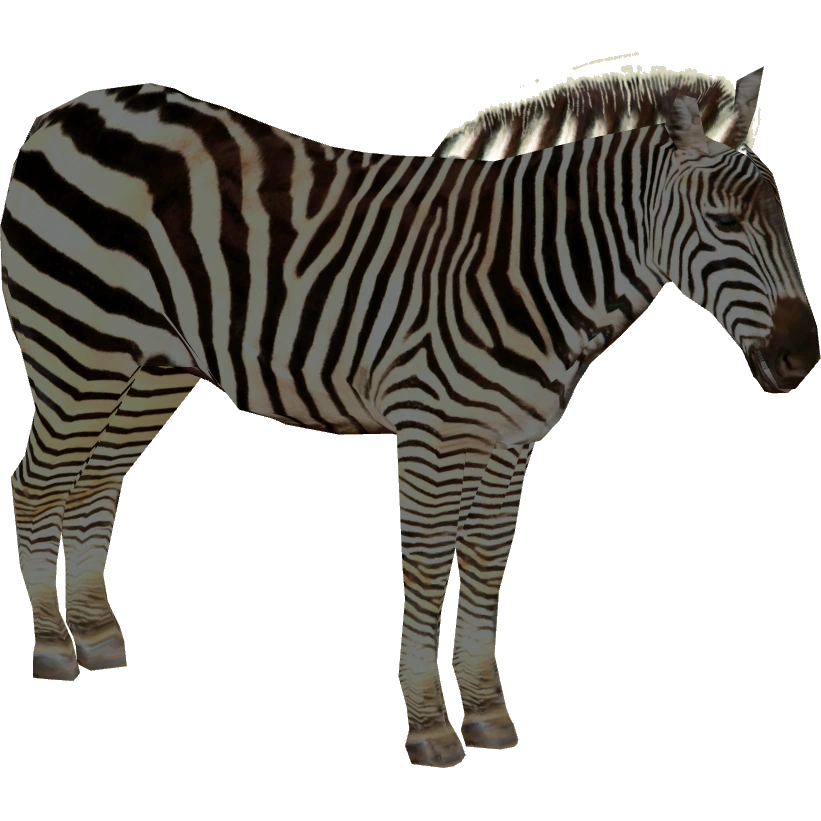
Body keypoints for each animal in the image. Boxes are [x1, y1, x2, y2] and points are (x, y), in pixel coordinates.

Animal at [0, 72, 817, 770]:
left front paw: (486, 715)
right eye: (723, 222)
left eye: (784, 216)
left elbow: (484, 569)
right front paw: (429, 729)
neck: (525, 270)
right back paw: (51, 648)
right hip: (81, 347)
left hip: (151, 364)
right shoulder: (433, 432)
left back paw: (96, 635)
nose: (801, 355)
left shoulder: (509, 442)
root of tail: (75, 107)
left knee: (94, 484)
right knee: (36, 484)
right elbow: (426, 572)